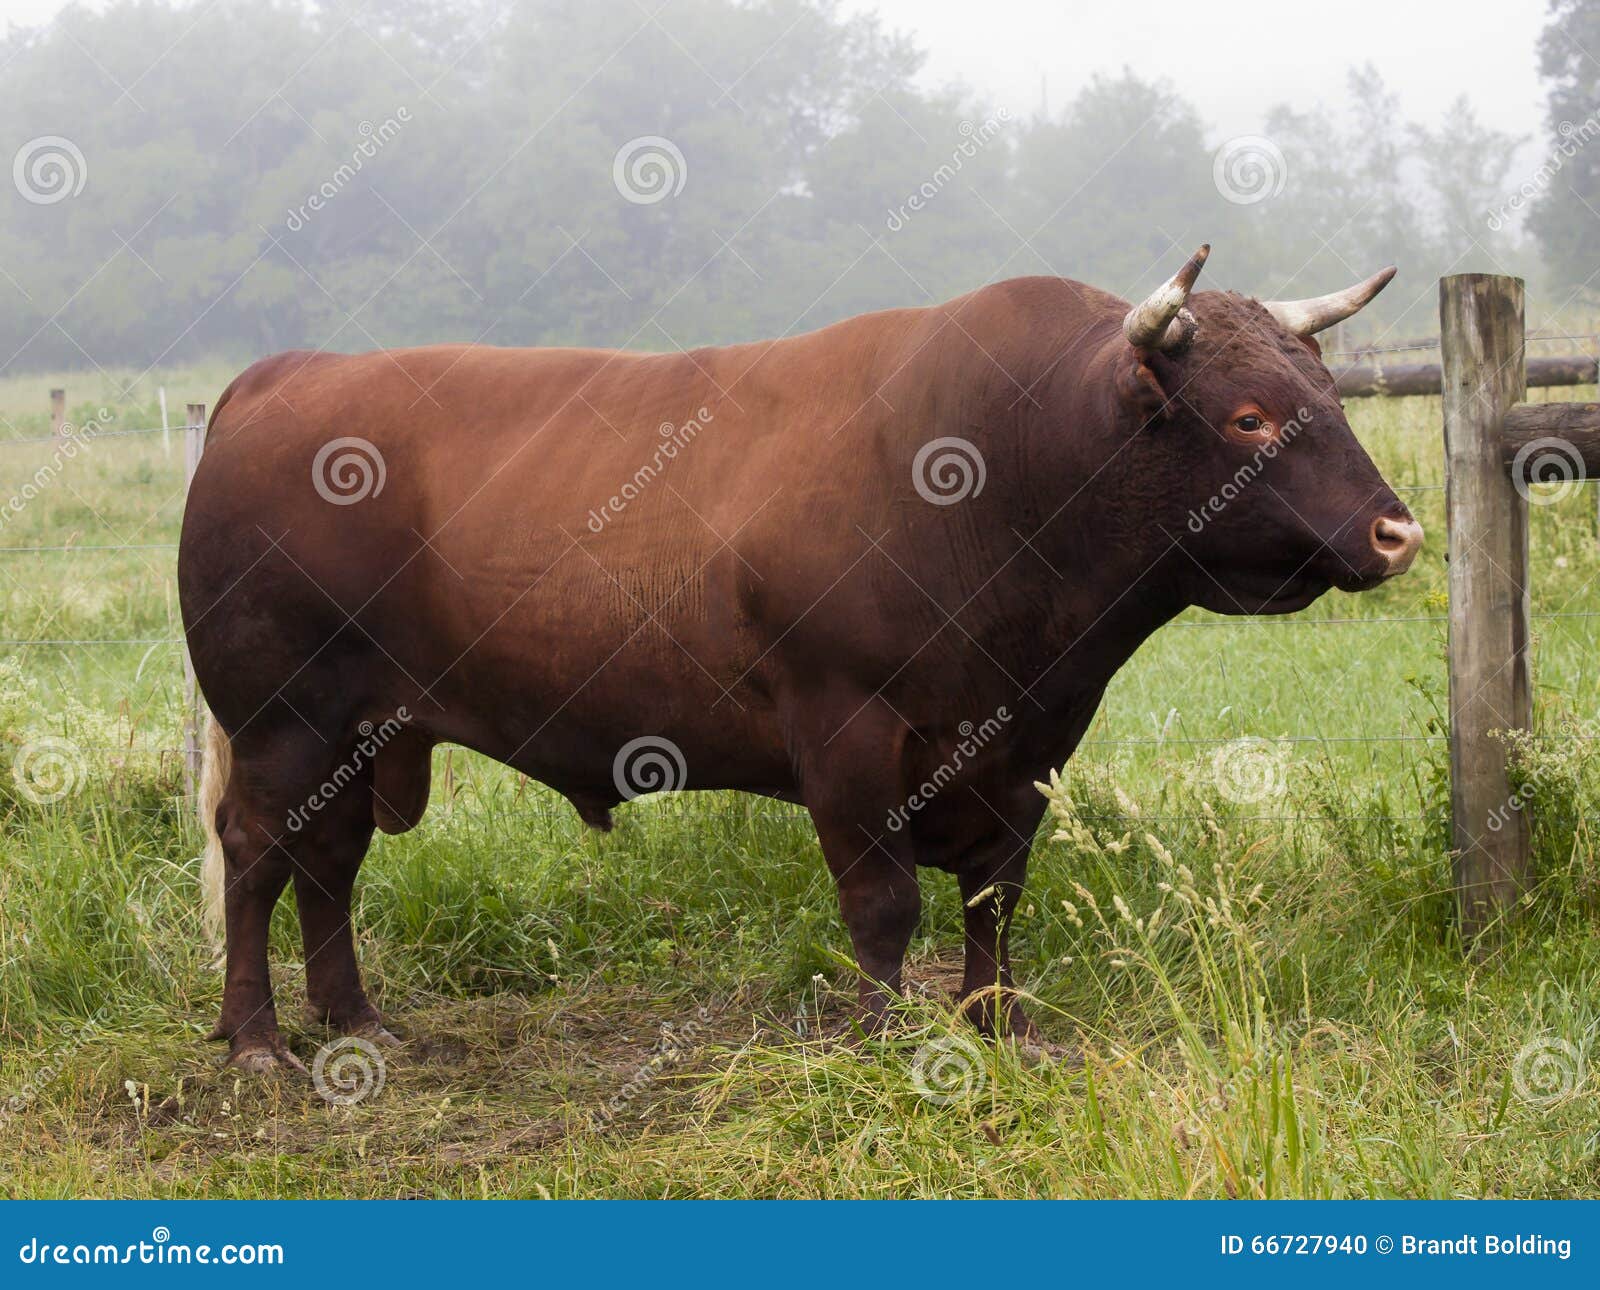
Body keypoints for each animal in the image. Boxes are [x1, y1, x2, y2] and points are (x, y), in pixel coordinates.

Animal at [179, 245, 1422, 1072]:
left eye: (1329, 393)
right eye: (1249, 417)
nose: (1395, 532)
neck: (1011, 468)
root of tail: (284, 375)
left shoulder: (1028, 741)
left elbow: (996, 896)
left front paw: (1001, 1029)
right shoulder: (845, 726)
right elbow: (881, 901)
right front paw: (879, 1040)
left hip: (360, 730)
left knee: (328, 861)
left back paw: (354, 1019)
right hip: (283, 720)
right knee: (255, 857)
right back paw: (258, 1044)